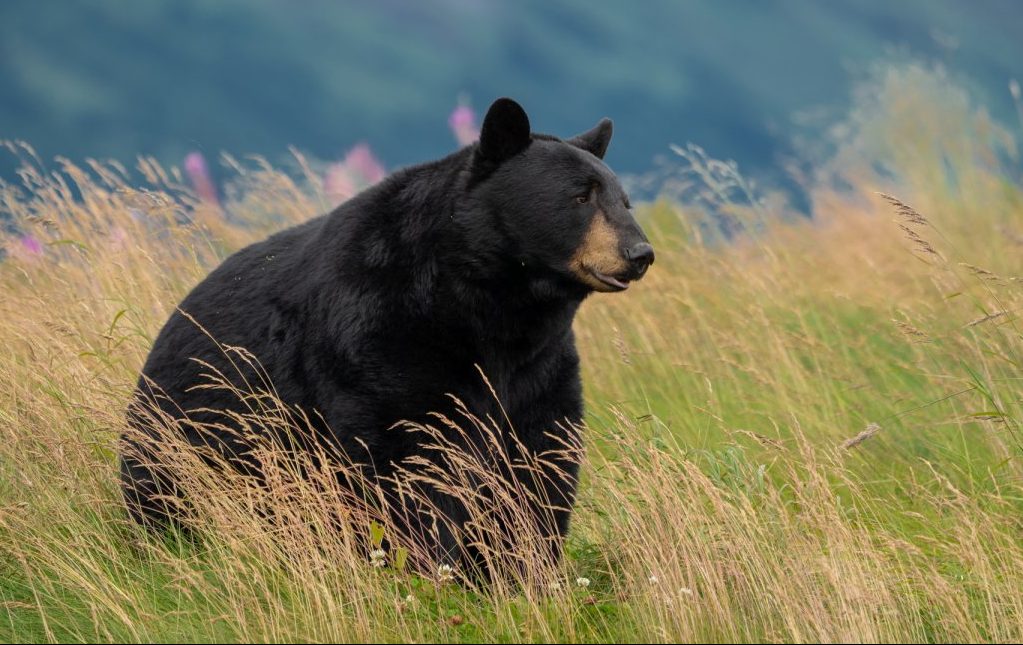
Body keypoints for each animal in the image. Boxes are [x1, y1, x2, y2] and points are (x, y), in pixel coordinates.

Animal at [120, 97, 654, 575]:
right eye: (580, 196)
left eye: (623, 200)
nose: (639, 252)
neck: (489, 303)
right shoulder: (382, 334)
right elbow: (406, 457)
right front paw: (428, 565)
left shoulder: (539, 364)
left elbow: (538, 458)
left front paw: (523, 570)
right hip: (191, 434)